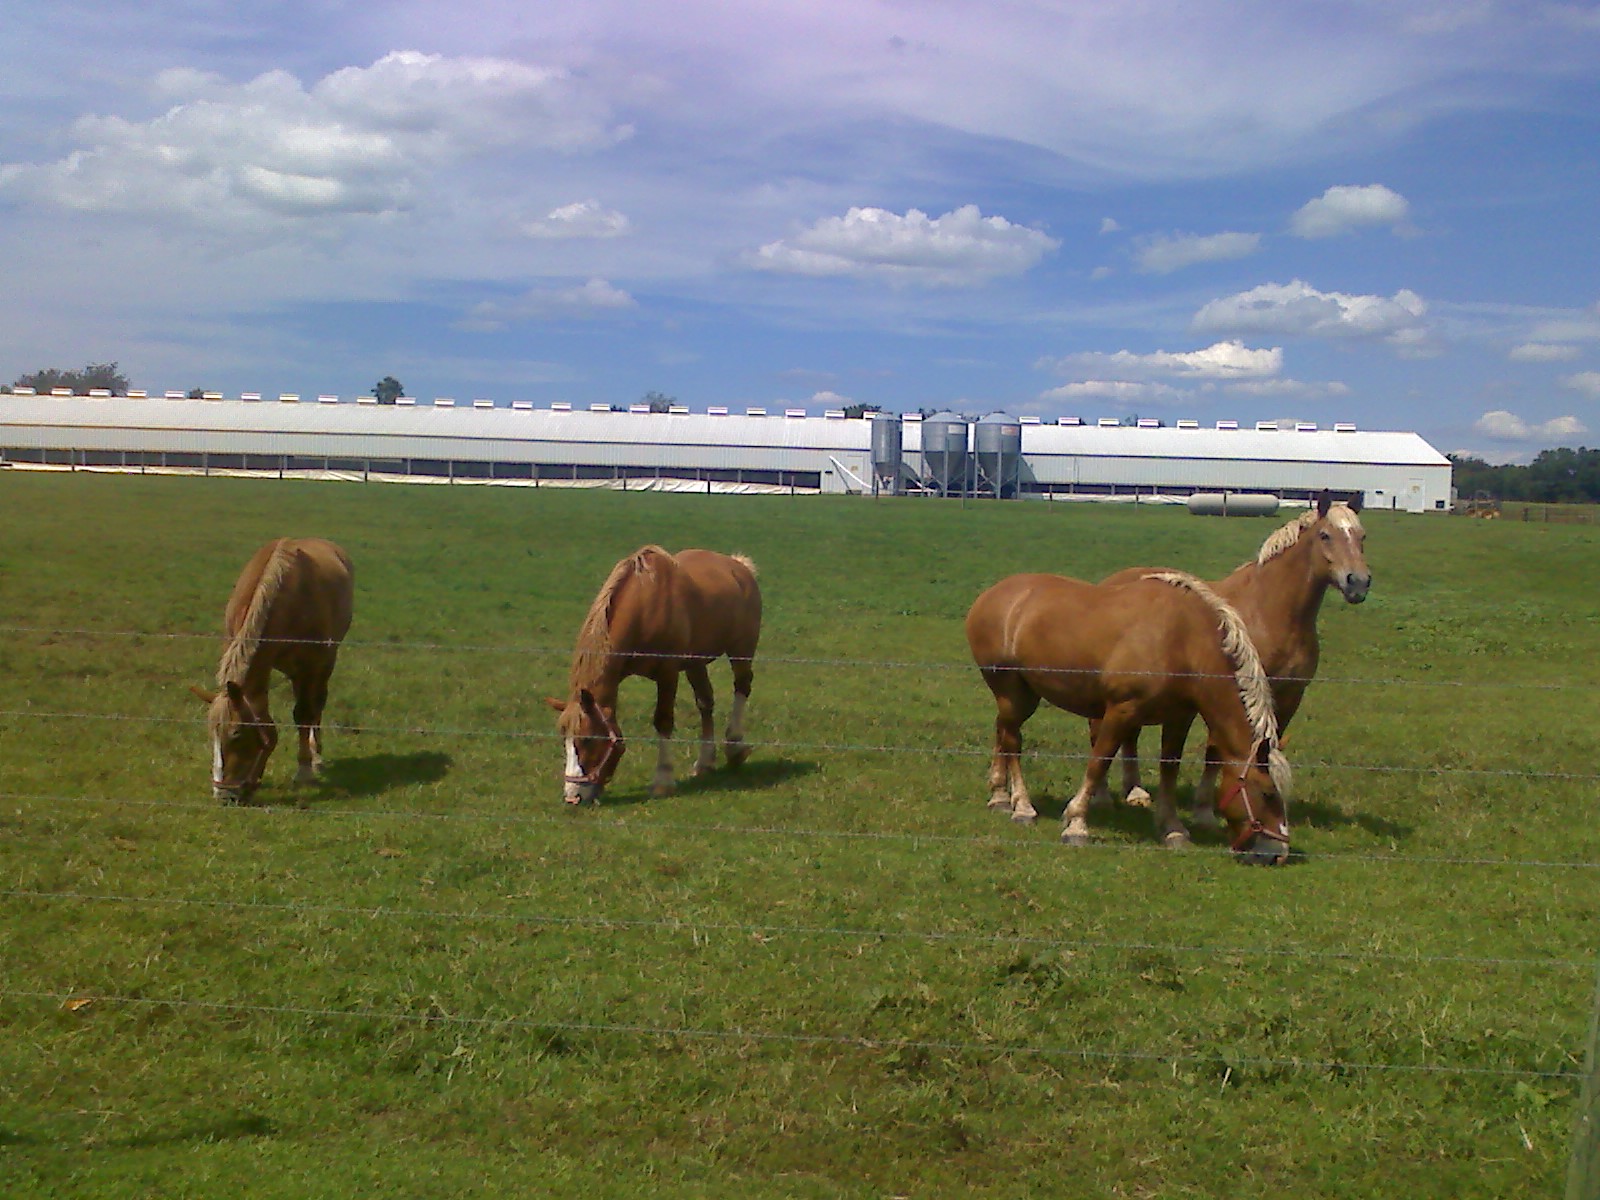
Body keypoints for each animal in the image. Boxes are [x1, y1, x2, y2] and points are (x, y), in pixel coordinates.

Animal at [190, 538, 354, 804]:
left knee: (316, 705)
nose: (223, 794)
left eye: (236, 733)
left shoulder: (309, 666)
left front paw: (304, 770)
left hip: (322, 666)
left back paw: (316, 756)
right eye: (211, 733)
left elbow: (304, 714)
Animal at [544, 546, 762, 804]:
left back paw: (735, 747)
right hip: (695, 663)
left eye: (588, 739)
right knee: (705, 703)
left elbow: (663, 721)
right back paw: (704, 763)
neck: (644, 609)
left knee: (742, 687)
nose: (572, 797)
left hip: (741, 650)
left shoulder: (667, 674)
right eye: (564, 739)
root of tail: (739, 566)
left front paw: (663, 781)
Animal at [966, 569, 1293, 864]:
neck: (1183, 639)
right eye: (1267, 794)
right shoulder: (1121, 711)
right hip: (1012, 692)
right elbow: (1099, 762)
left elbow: (1169, 769)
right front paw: (1076, 825)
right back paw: (1022, 808)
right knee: (1013, 741)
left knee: (1003, 731)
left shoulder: (1179, 717)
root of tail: (990, 596)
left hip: (1022, 695)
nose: (1278, 854)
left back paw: (999, 796)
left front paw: (1173, 829)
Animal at [1096, 491, 1368, 823]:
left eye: (1361, 536)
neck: (1267, 610)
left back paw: (1134, 791)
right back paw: (1105, 796)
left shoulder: (1290, 695)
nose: (1358, 582)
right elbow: (1215, 751)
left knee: (1129, 735)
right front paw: (1204, 810)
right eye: (1325, 535)